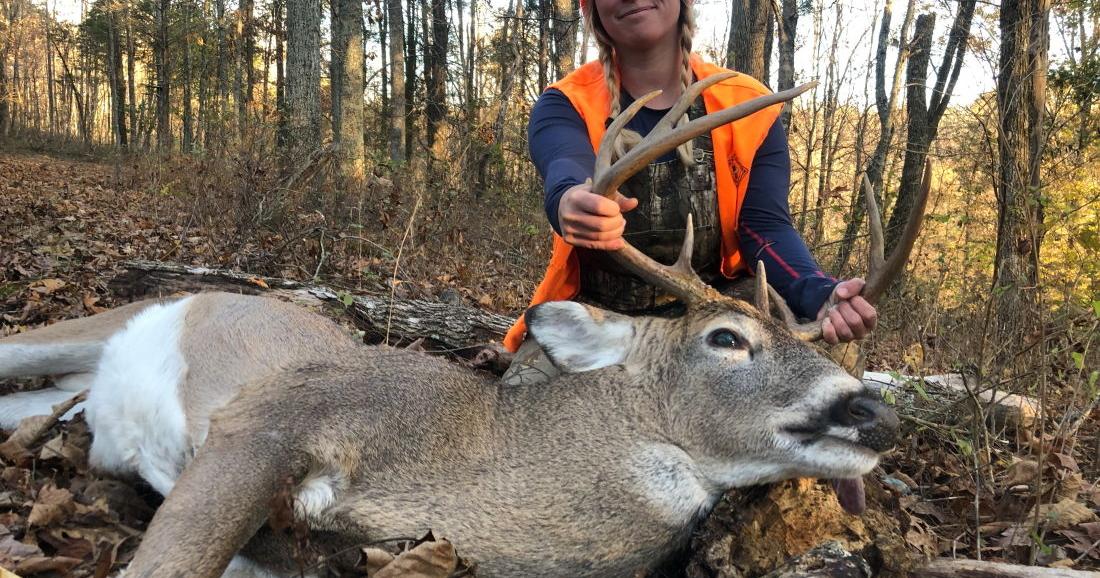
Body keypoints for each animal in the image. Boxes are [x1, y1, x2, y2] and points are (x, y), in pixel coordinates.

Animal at [0, 73, 928, 578]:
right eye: (727, 339)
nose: (876, 411)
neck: (459, 465)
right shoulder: (265, 421)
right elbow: (173, 558)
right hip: (96, 322)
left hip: (78, 394)